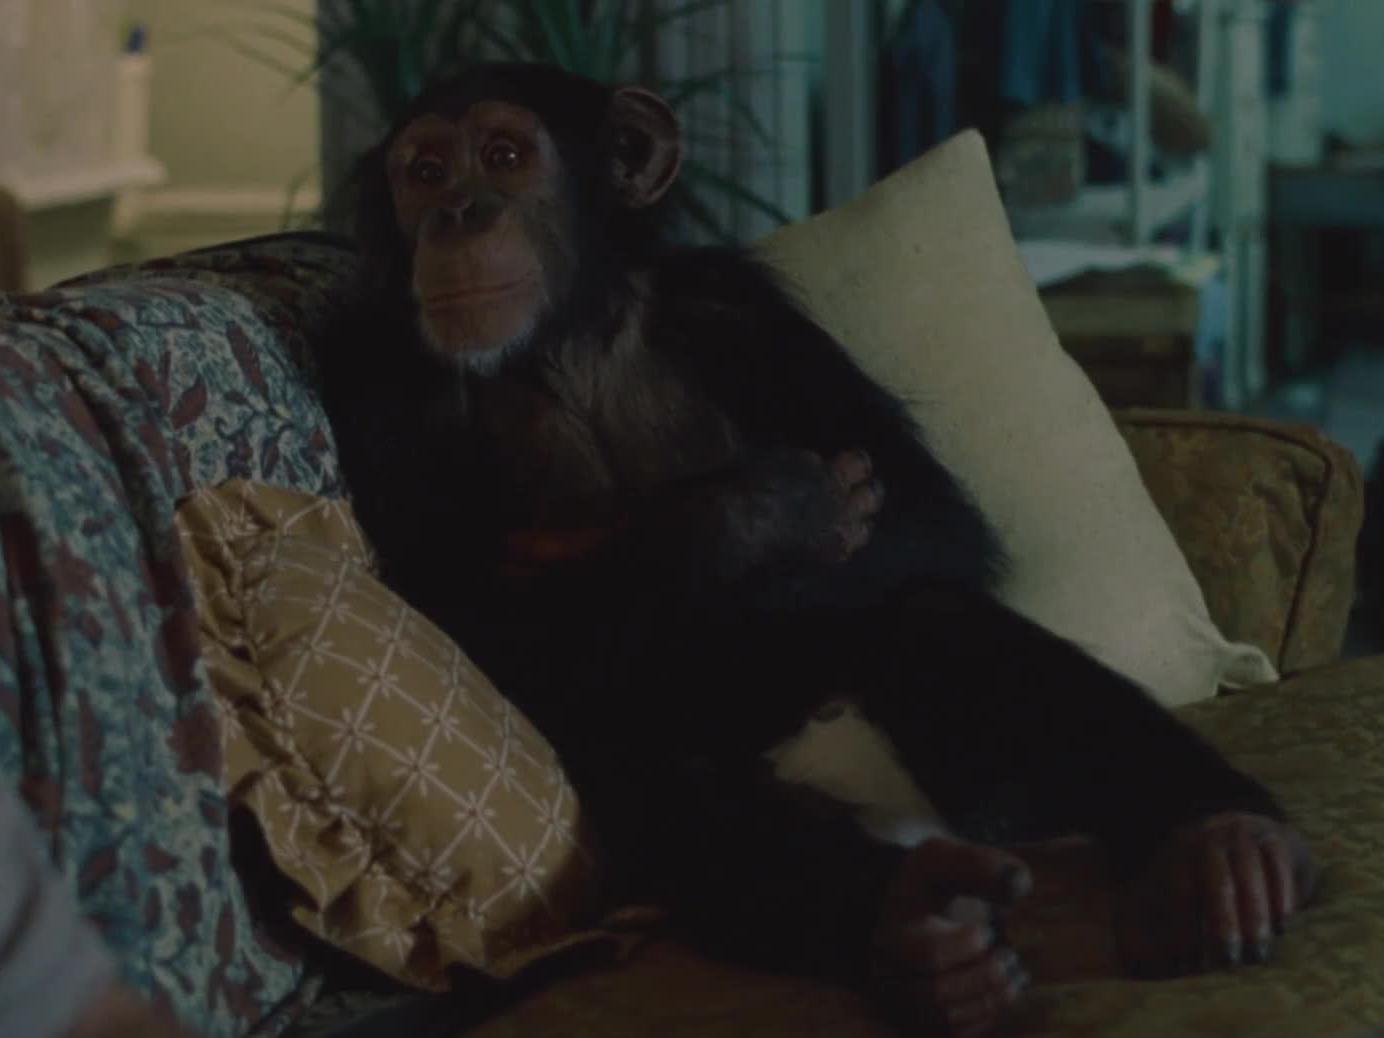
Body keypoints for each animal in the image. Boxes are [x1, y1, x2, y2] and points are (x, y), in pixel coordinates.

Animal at [312, 62, 1316, 1035]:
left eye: (505, 155)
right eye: (425, 171)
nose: (458, 213)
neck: (565, 345)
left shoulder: (742, 313)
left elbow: (927, 513)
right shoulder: (381, 383)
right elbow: (474, 610)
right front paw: (770, 511)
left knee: (935, 617)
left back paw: (1216, 847)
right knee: (663, 775)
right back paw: (921, 936)